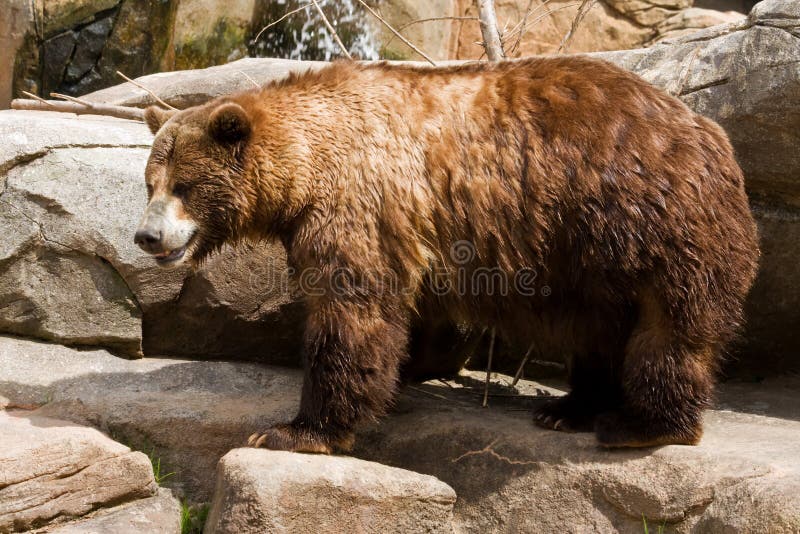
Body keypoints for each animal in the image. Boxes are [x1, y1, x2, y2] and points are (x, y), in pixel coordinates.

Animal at [135, 56, 759, 453]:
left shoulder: (358, 204)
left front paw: (297, 430)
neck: (306, 168)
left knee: (669, 327)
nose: (146, 237)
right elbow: (411, 311)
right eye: (150, 182)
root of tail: (708, 131)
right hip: (589, 256)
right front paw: (407, 372)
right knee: (599, 328)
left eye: (184, 186)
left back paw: (641, 425)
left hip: (651, 220)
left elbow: (352, 312)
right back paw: (567, 408)